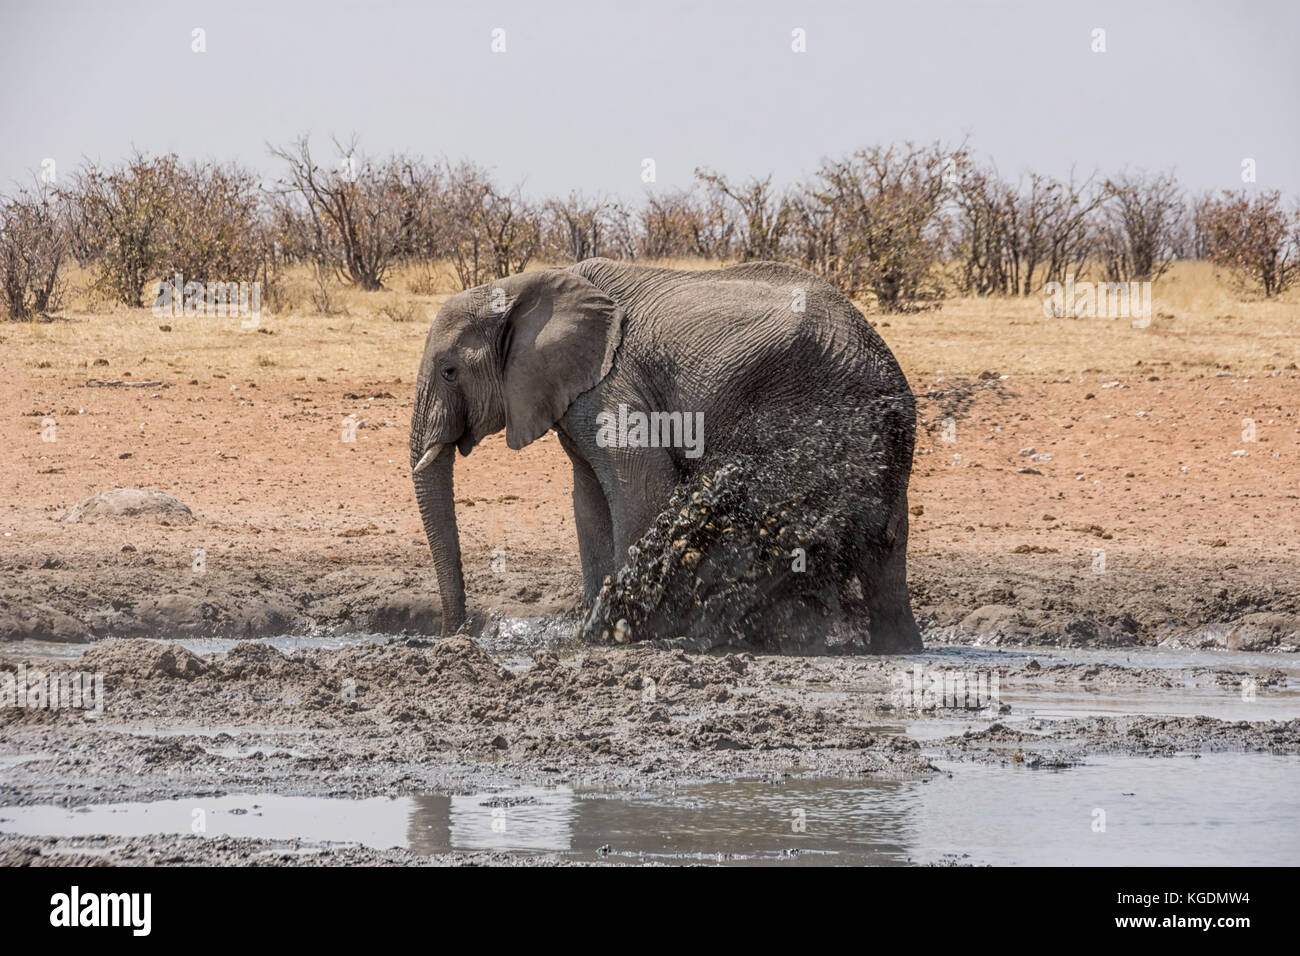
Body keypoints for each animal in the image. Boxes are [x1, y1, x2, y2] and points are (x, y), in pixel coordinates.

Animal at [410, 258, 922, 652]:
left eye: (449, 371)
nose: (454, 637)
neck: (520, 285)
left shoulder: (614, 385)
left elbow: (640, 489)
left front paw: (622, 632)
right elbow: (589, 503)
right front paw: (593, 631)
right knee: (886, 551)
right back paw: (899, 650)